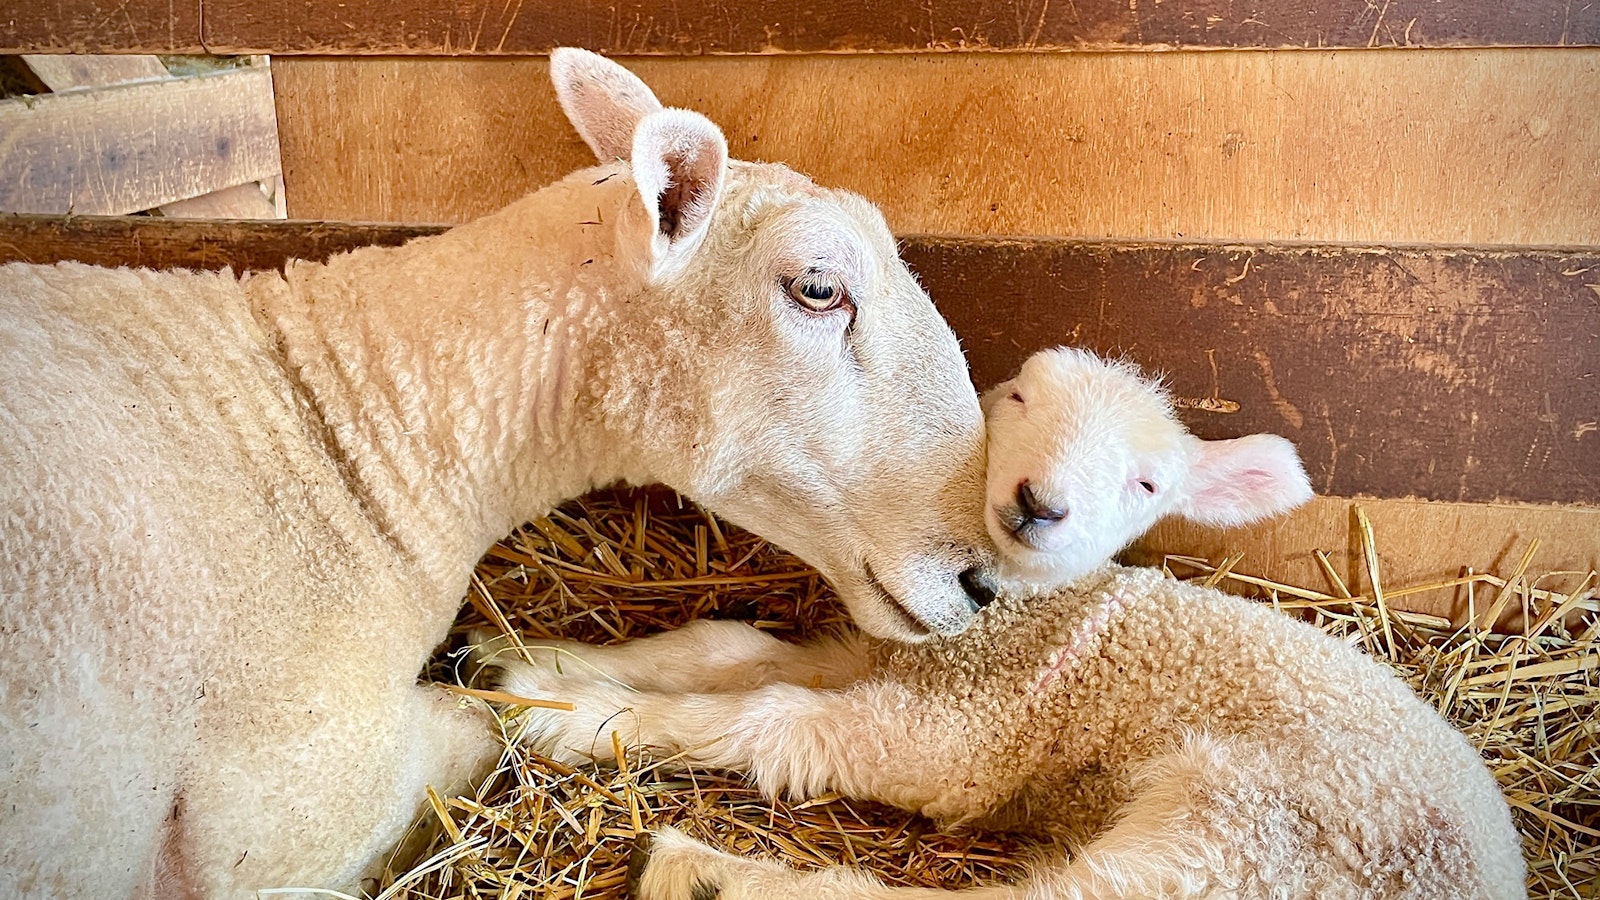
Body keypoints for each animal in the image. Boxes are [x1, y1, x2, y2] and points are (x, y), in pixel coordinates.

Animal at [485, 347, 1527, 899]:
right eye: (1020, 396)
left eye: (1148, 484)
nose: (1040, 503)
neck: (1011, 620)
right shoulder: (892, 659)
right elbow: (727, 648)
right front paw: (535, 660)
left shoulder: (961, 736)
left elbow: (768, 717)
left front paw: (575, 721)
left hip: (1237, 845)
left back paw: (697, 867)